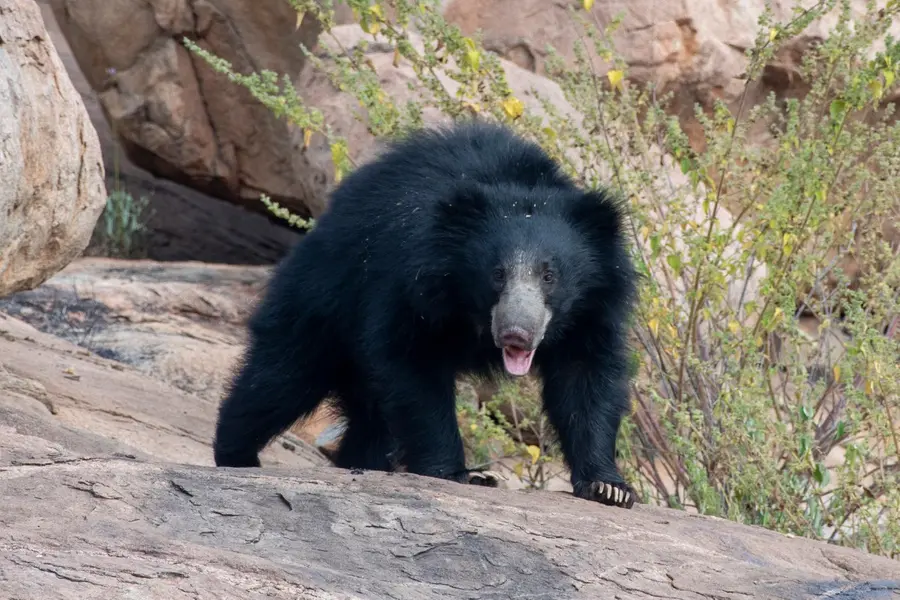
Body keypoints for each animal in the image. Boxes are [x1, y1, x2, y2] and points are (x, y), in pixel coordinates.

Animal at [213, 120, 638, 508]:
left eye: (550, 276)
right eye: (497, 274)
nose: (516, 333)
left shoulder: (595, 308)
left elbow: (585, 378)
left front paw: (609, 487)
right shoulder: (410, 284)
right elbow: (414, 368)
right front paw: (458, 474)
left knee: (366, 417)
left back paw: (360, 465)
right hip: (325, 295)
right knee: (281, 376)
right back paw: (236, 455)